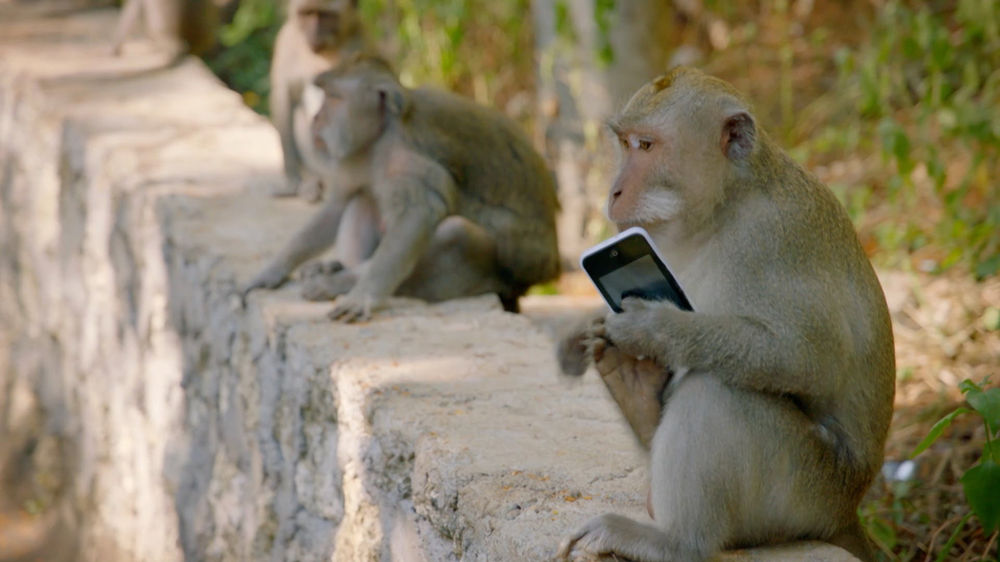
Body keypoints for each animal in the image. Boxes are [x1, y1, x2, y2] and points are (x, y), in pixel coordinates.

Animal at [244, 55, 561, 322]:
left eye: (333, 98)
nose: (316, 118)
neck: (381, 134)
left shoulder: (405, 155)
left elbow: (419, 213)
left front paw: (364, 294)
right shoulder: (355, 154)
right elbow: (338, 204)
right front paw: (275, 269)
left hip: (504, 273)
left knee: (457, 232)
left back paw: (339, 282)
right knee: (364, 198)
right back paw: (338, 267)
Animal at [269, 0, 367, 201]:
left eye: (326, 16)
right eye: (308, 14)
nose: (314, 34)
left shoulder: (360, 42)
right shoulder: (286, 41)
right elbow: (283, 98)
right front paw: (291, 181)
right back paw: (313, 180)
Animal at [554, 67, 895, 562]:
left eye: (647, 146)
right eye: (625, 144)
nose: (614, 191)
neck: (726, 205)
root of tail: (847, 510)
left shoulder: (772, 238)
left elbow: (810, 360)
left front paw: (654, 329)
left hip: (806, 489)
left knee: (717, 389)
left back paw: (677, 542)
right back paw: (636, 394)